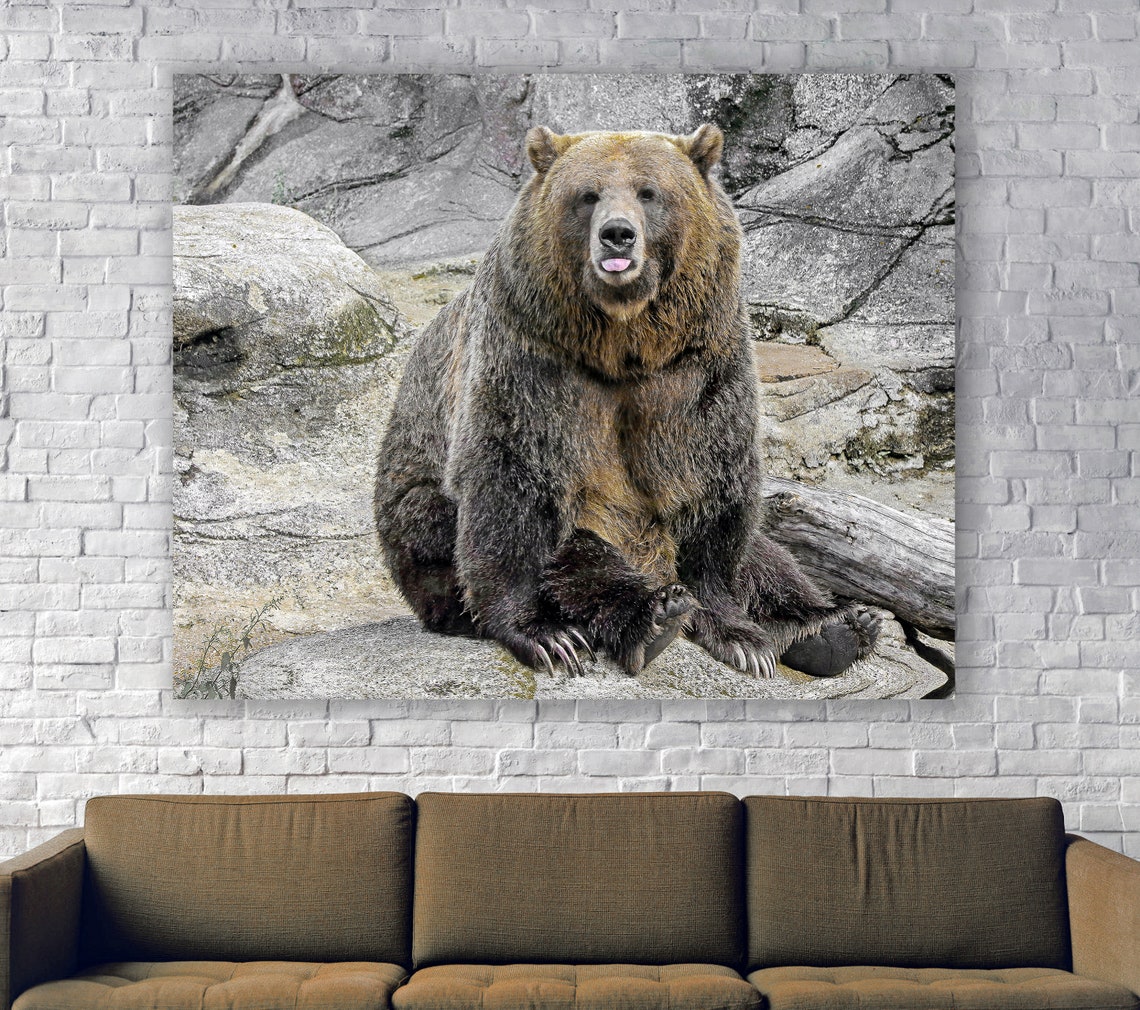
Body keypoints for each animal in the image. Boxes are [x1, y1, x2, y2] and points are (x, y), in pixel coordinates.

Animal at [375, 123, 880, 680]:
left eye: (648, 192)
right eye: (587, 194)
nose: (617, 234)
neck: (623, 343)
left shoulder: (697, 363)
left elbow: (715, 484)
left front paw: (741, 635)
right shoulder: (533, 357)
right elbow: (512, 479)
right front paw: (543, 634)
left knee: (769, 556)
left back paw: (837, 626)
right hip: (422, 521)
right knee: (577, 557)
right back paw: (653, 616)